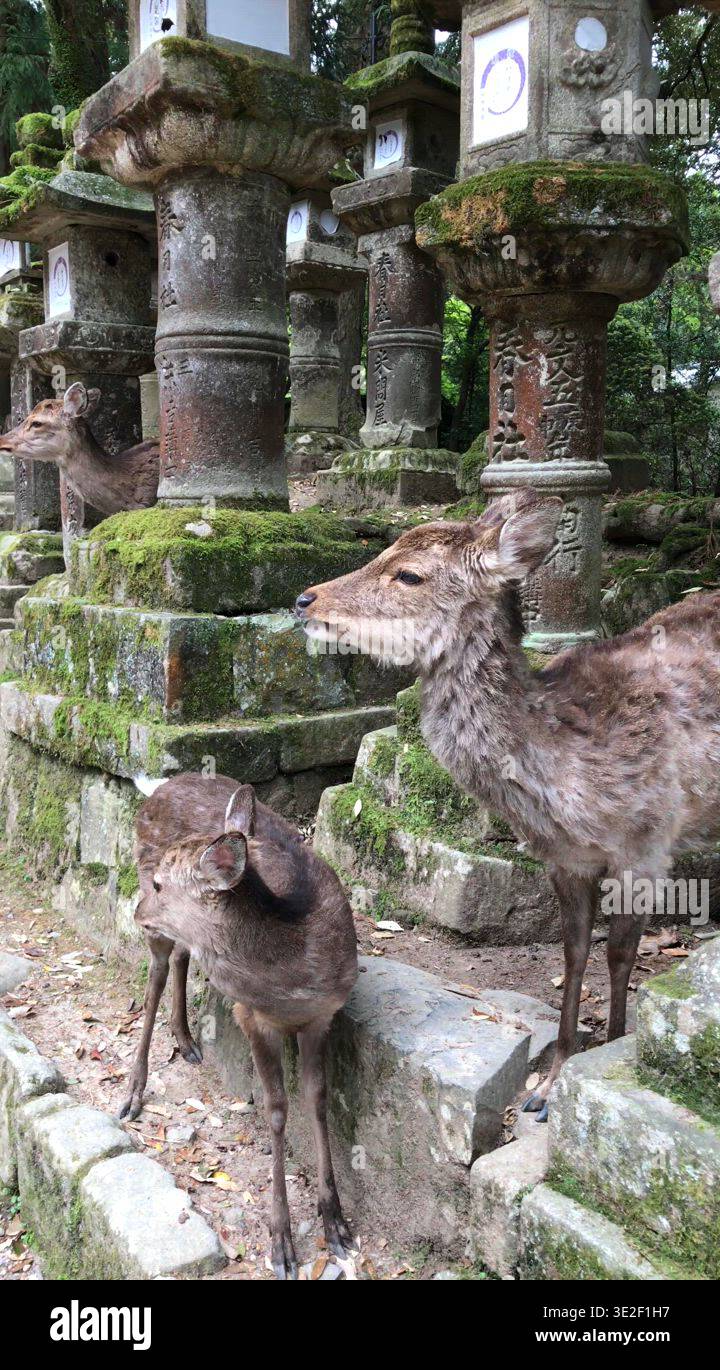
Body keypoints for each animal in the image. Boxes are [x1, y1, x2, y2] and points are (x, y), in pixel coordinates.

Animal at [120, 771, 358, 1280]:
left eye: (161, 885)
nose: (137, 909)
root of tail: (158, 785)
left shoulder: (324, 1016)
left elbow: (318, 1100)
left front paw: (336, 1222)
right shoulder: (250, 1015)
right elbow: (276, 1110)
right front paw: (281, 1242)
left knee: (183, 955)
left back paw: (186, 1039)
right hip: (156, 928)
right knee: (156, 974)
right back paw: (133, 1092)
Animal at [295, 490, 720, 1122]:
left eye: (409, 574)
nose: (306, 598)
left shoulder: (649, 841)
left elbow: (620, 953)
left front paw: (612, 1044)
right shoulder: (564, 858)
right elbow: (574, 953)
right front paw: (549, 1083)